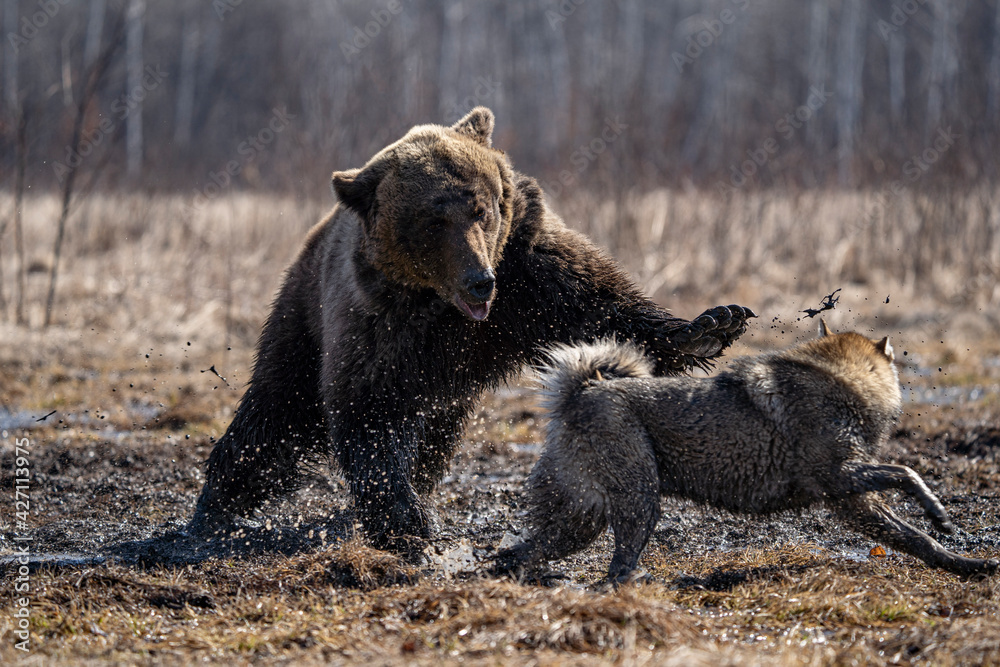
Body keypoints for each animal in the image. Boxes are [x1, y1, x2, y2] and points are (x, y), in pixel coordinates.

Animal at [189, 107, 755, 555]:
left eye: (483, 209)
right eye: (431, 221)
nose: (479, 281)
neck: (443, 308)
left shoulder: (530, 275)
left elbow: (605, 307)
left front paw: (711, 325)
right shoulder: (378, 324)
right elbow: (367, 406)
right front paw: (404, 520)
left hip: (447, 396)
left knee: (427, 439)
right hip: (302, 314)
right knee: (273, 412)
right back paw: (213, 510)